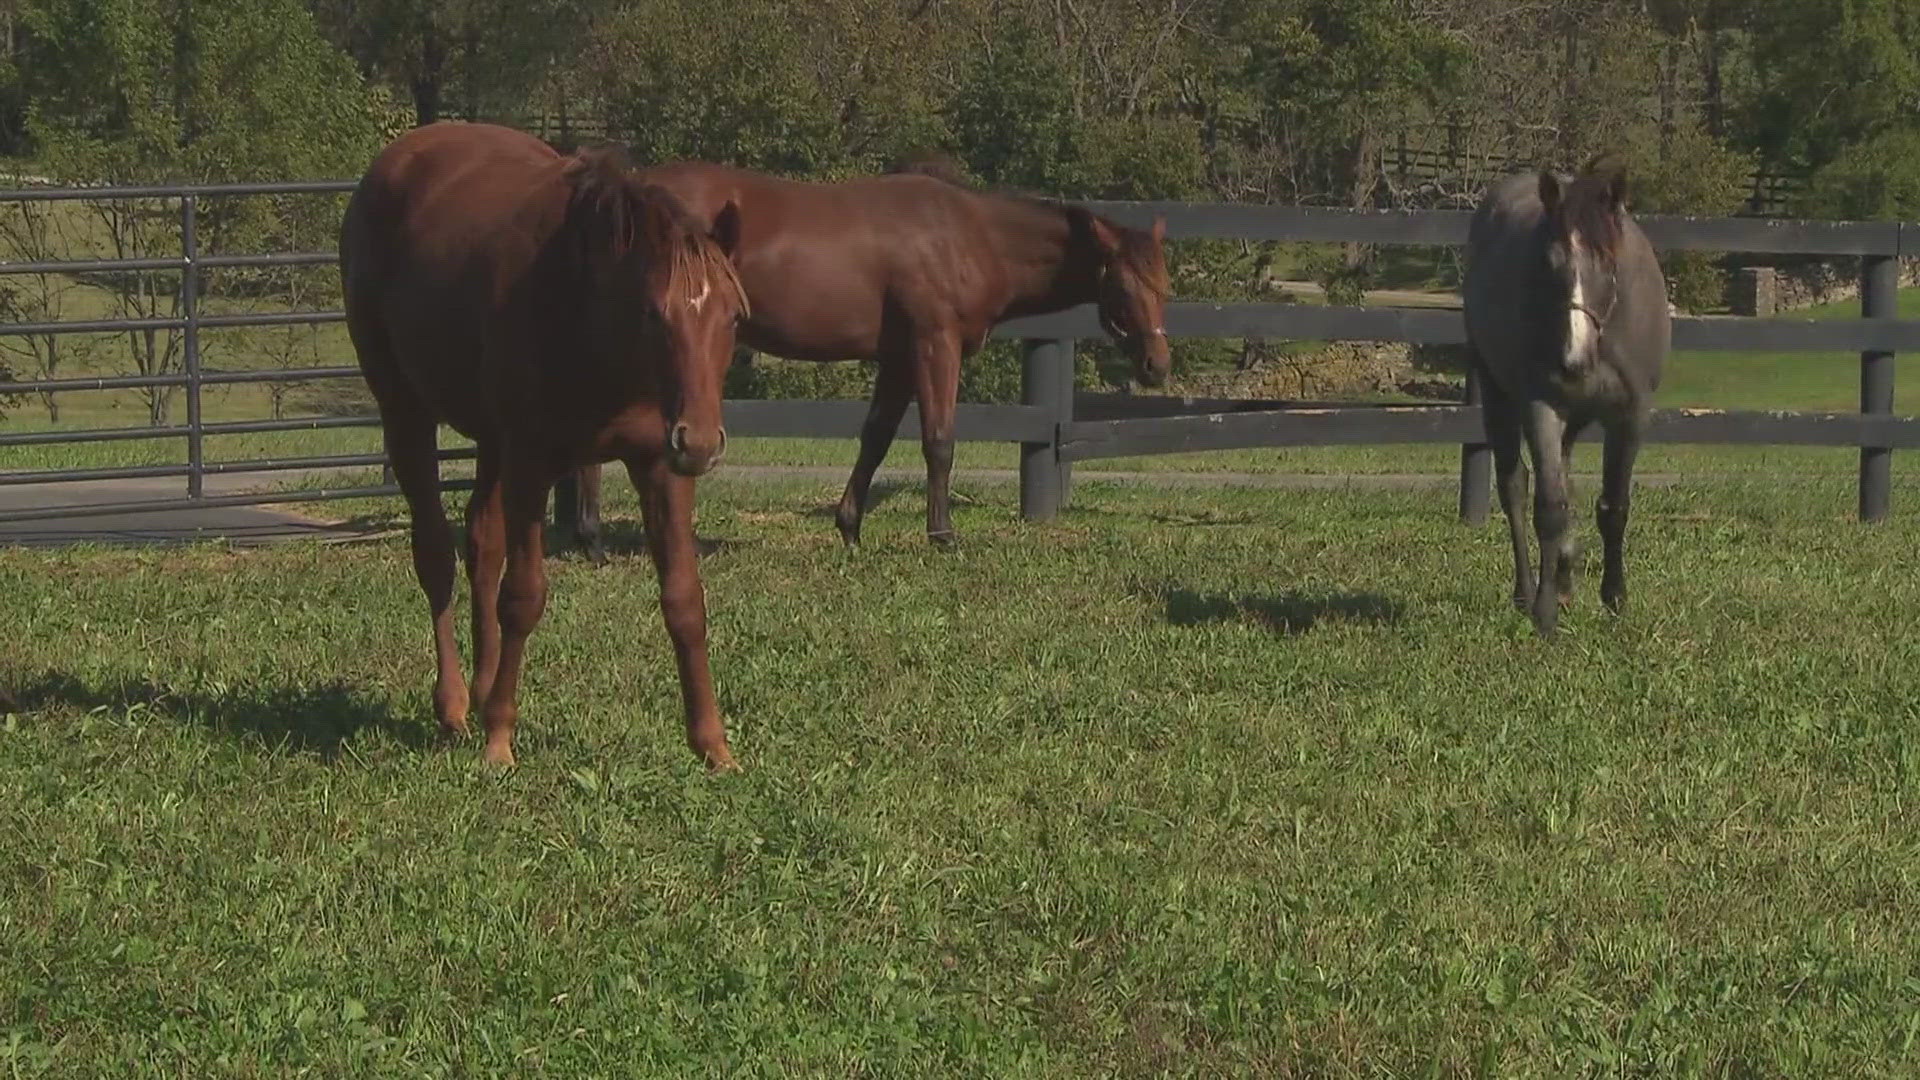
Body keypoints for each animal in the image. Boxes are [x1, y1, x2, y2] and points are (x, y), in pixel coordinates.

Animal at [339, 122, 749, 768]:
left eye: (732, 318)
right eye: (653, 314)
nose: (702, 442)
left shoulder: (658, 466)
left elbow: (685, 601)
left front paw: (712, 745)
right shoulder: (532, 462)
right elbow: (524, 596)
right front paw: (500, 739)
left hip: (492, 442)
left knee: (481, 544)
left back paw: (482, 690)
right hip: (405, 411)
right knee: (435, 554)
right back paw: (456, 705)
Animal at [549, 158, 1172, 558]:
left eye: (1163, 282)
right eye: (1121, 283)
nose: (1157, 365)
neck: (968, 236)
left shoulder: (898, 358)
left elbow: (875, 439)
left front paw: (849, 526)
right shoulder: (934, 345)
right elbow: (939, 441)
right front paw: (943, 536)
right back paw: (592, 539)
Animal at [1461, 155, 1670, 637]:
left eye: (1608, 261)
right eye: (1548, 260)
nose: (1572, 361)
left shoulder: (1630, 416)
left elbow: (1614, 507)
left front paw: (1615, 598)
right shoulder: (1543, 406)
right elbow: (1550, 508)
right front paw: (1544, 613)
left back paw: (1566, 581)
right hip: (1498, 393)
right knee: (1515, 487)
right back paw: (1529, 592)